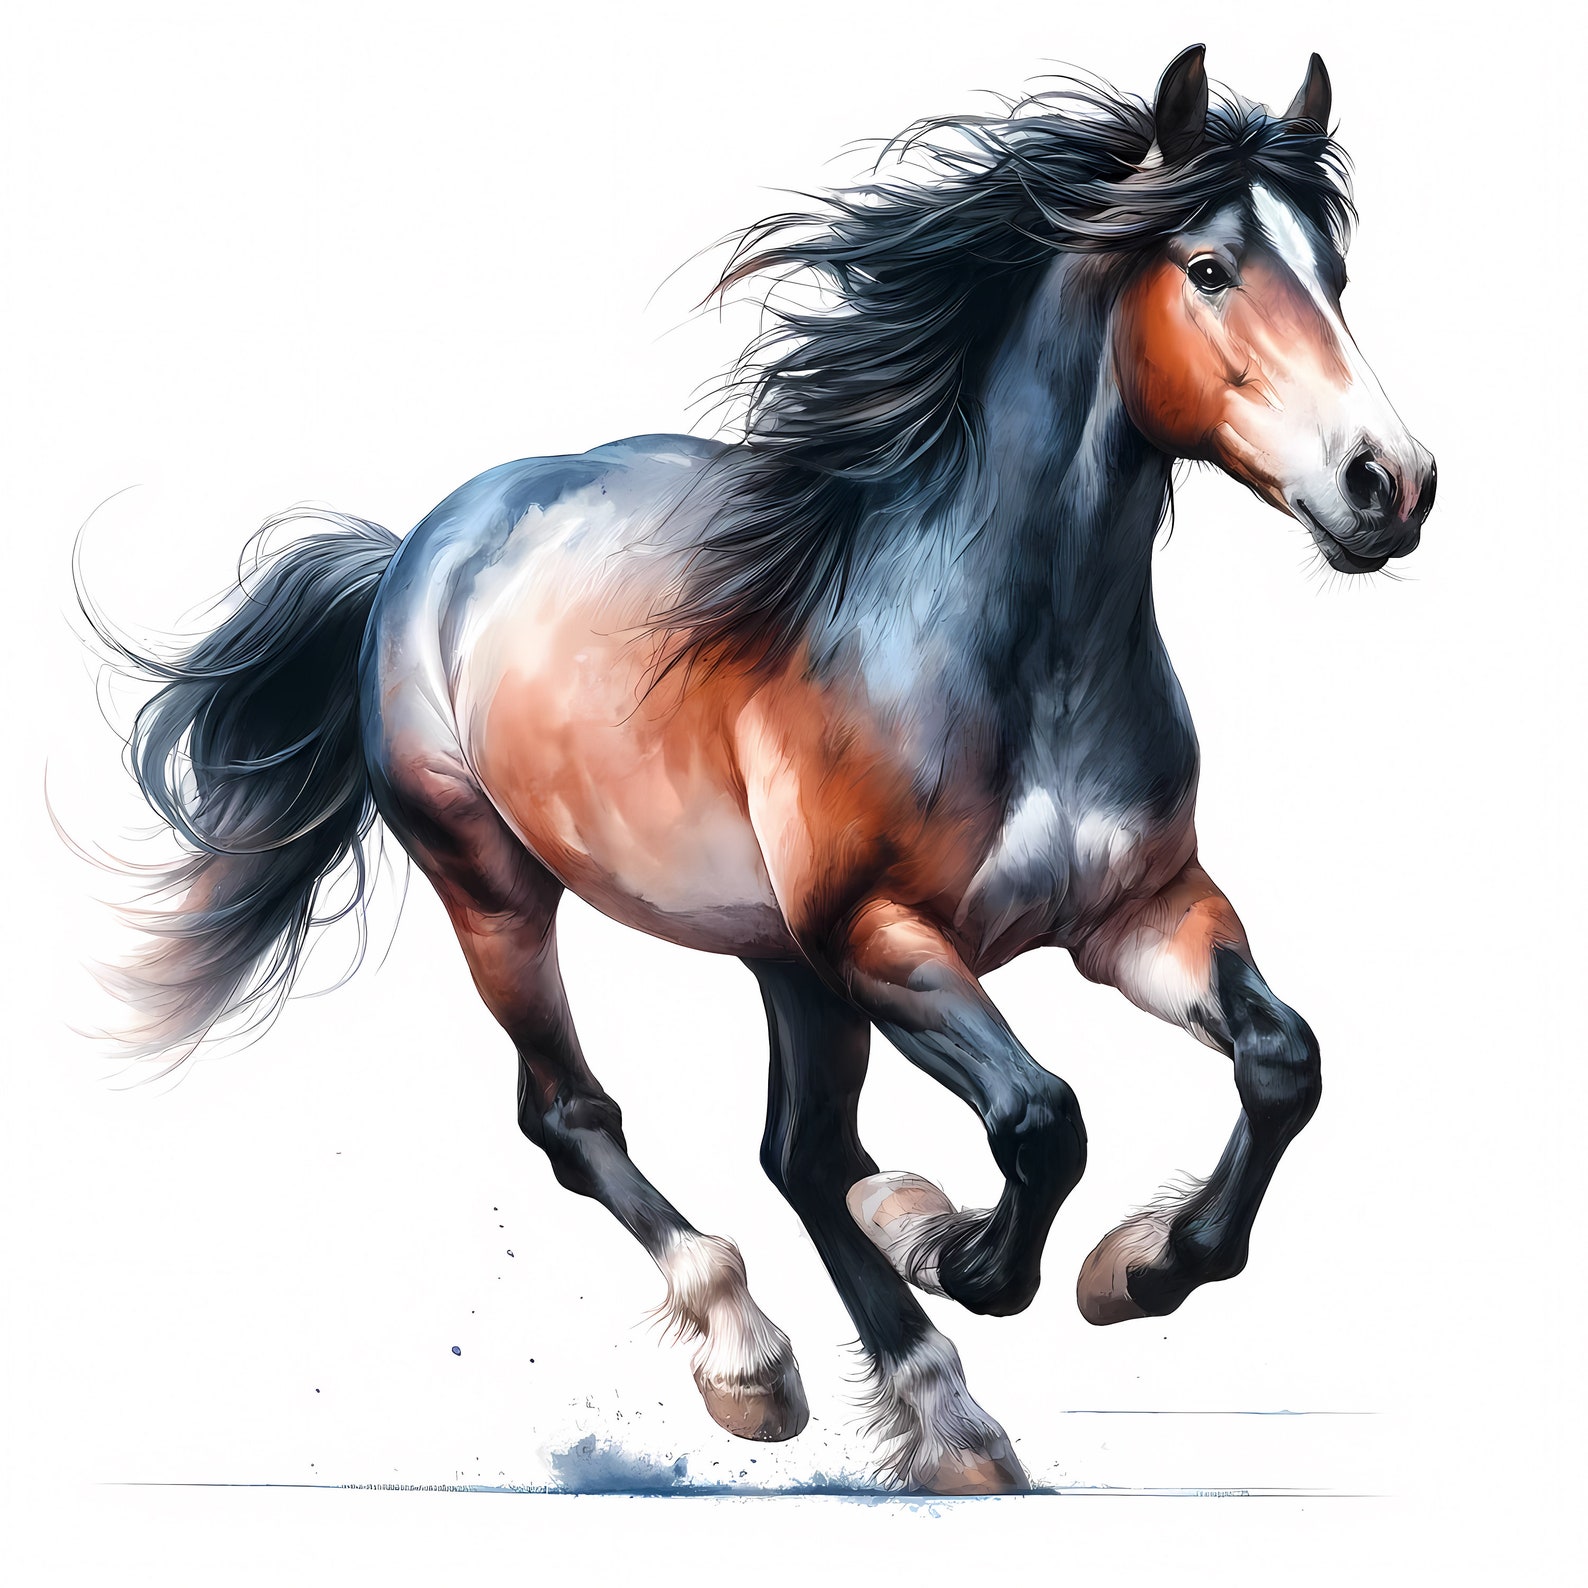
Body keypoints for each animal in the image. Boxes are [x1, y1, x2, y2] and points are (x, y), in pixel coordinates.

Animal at [83, 46, 1435, 1495]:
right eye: (1208, 266)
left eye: (1334, 271)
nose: (1390, 484)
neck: (1004, 649)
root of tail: (415, 554)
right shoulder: (877, 933)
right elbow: (1039, 1119)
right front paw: (947, 1240)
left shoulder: (1140, 913)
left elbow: (1283, 1060)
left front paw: (1133, 1267)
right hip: (504, 891)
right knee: (578, 1118)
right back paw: (754, 1356)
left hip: (777, 955)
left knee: (801, 1153)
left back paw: (948, 1413)